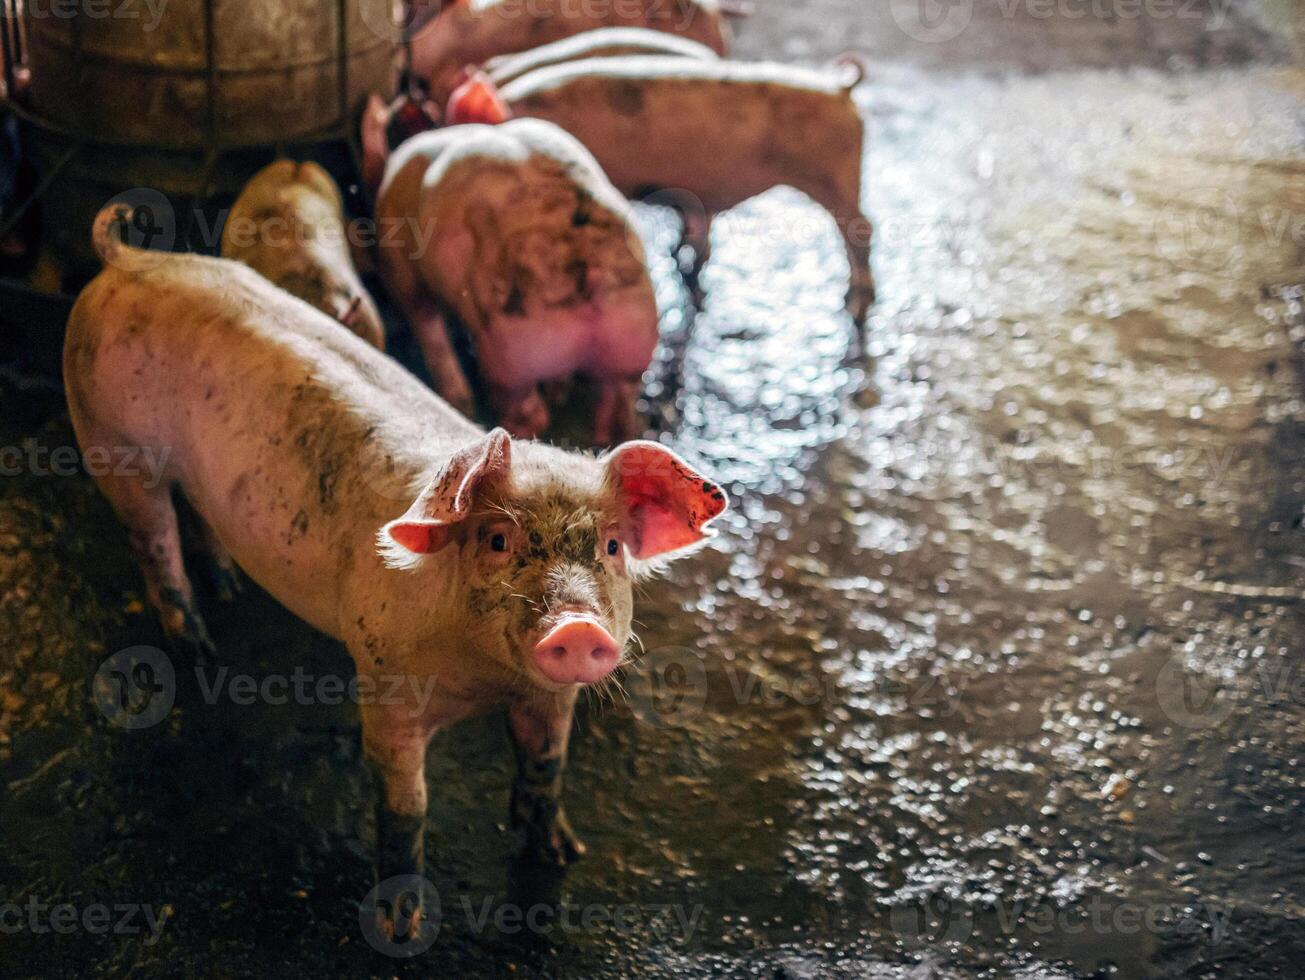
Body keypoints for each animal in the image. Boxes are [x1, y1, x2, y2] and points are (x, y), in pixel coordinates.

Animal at [65, 205, 729, 936]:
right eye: (497, 540)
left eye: (611, 548)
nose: (577, 627)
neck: (484, 681)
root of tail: (127, 259)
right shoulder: (383, 681)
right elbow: (405, 807)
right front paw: (399, 926)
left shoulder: (552, 696)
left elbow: (545, 765)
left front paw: (561, 853)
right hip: (111, 441)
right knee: (154, 541)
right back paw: (199, 648)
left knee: (197, 516)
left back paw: (229, 587)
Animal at [366, 117, 660, 445]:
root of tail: (585, 270)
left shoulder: (398, 265)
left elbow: (424, 320)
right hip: (630, 336)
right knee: (617, 412)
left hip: (512, 351)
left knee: (529, 412)